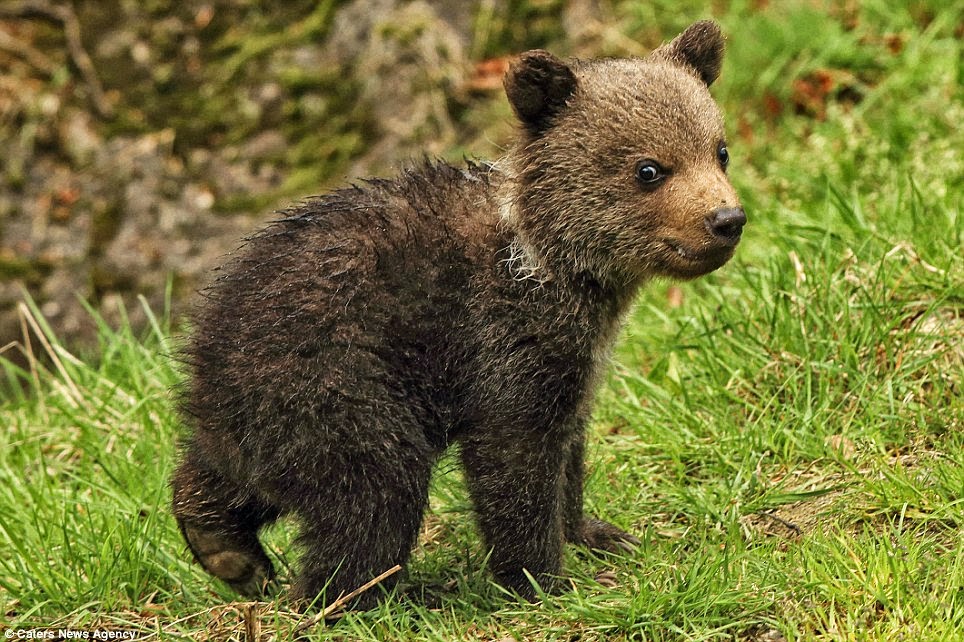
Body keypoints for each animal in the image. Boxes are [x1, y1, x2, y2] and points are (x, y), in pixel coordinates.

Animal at [171, 20, 745, 609]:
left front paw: (595, 533)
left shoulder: (577, 357)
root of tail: (206, 343)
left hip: (260, 419)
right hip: (334, 382)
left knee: (230, 473)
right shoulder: (502, 339)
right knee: (374, 495)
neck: (547, 261)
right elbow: (513, 459)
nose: (726, 219)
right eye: (649, 169)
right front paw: (545, 578)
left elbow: (568, 446)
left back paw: (224, 546)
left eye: (719, 150)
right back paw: (364, 595)